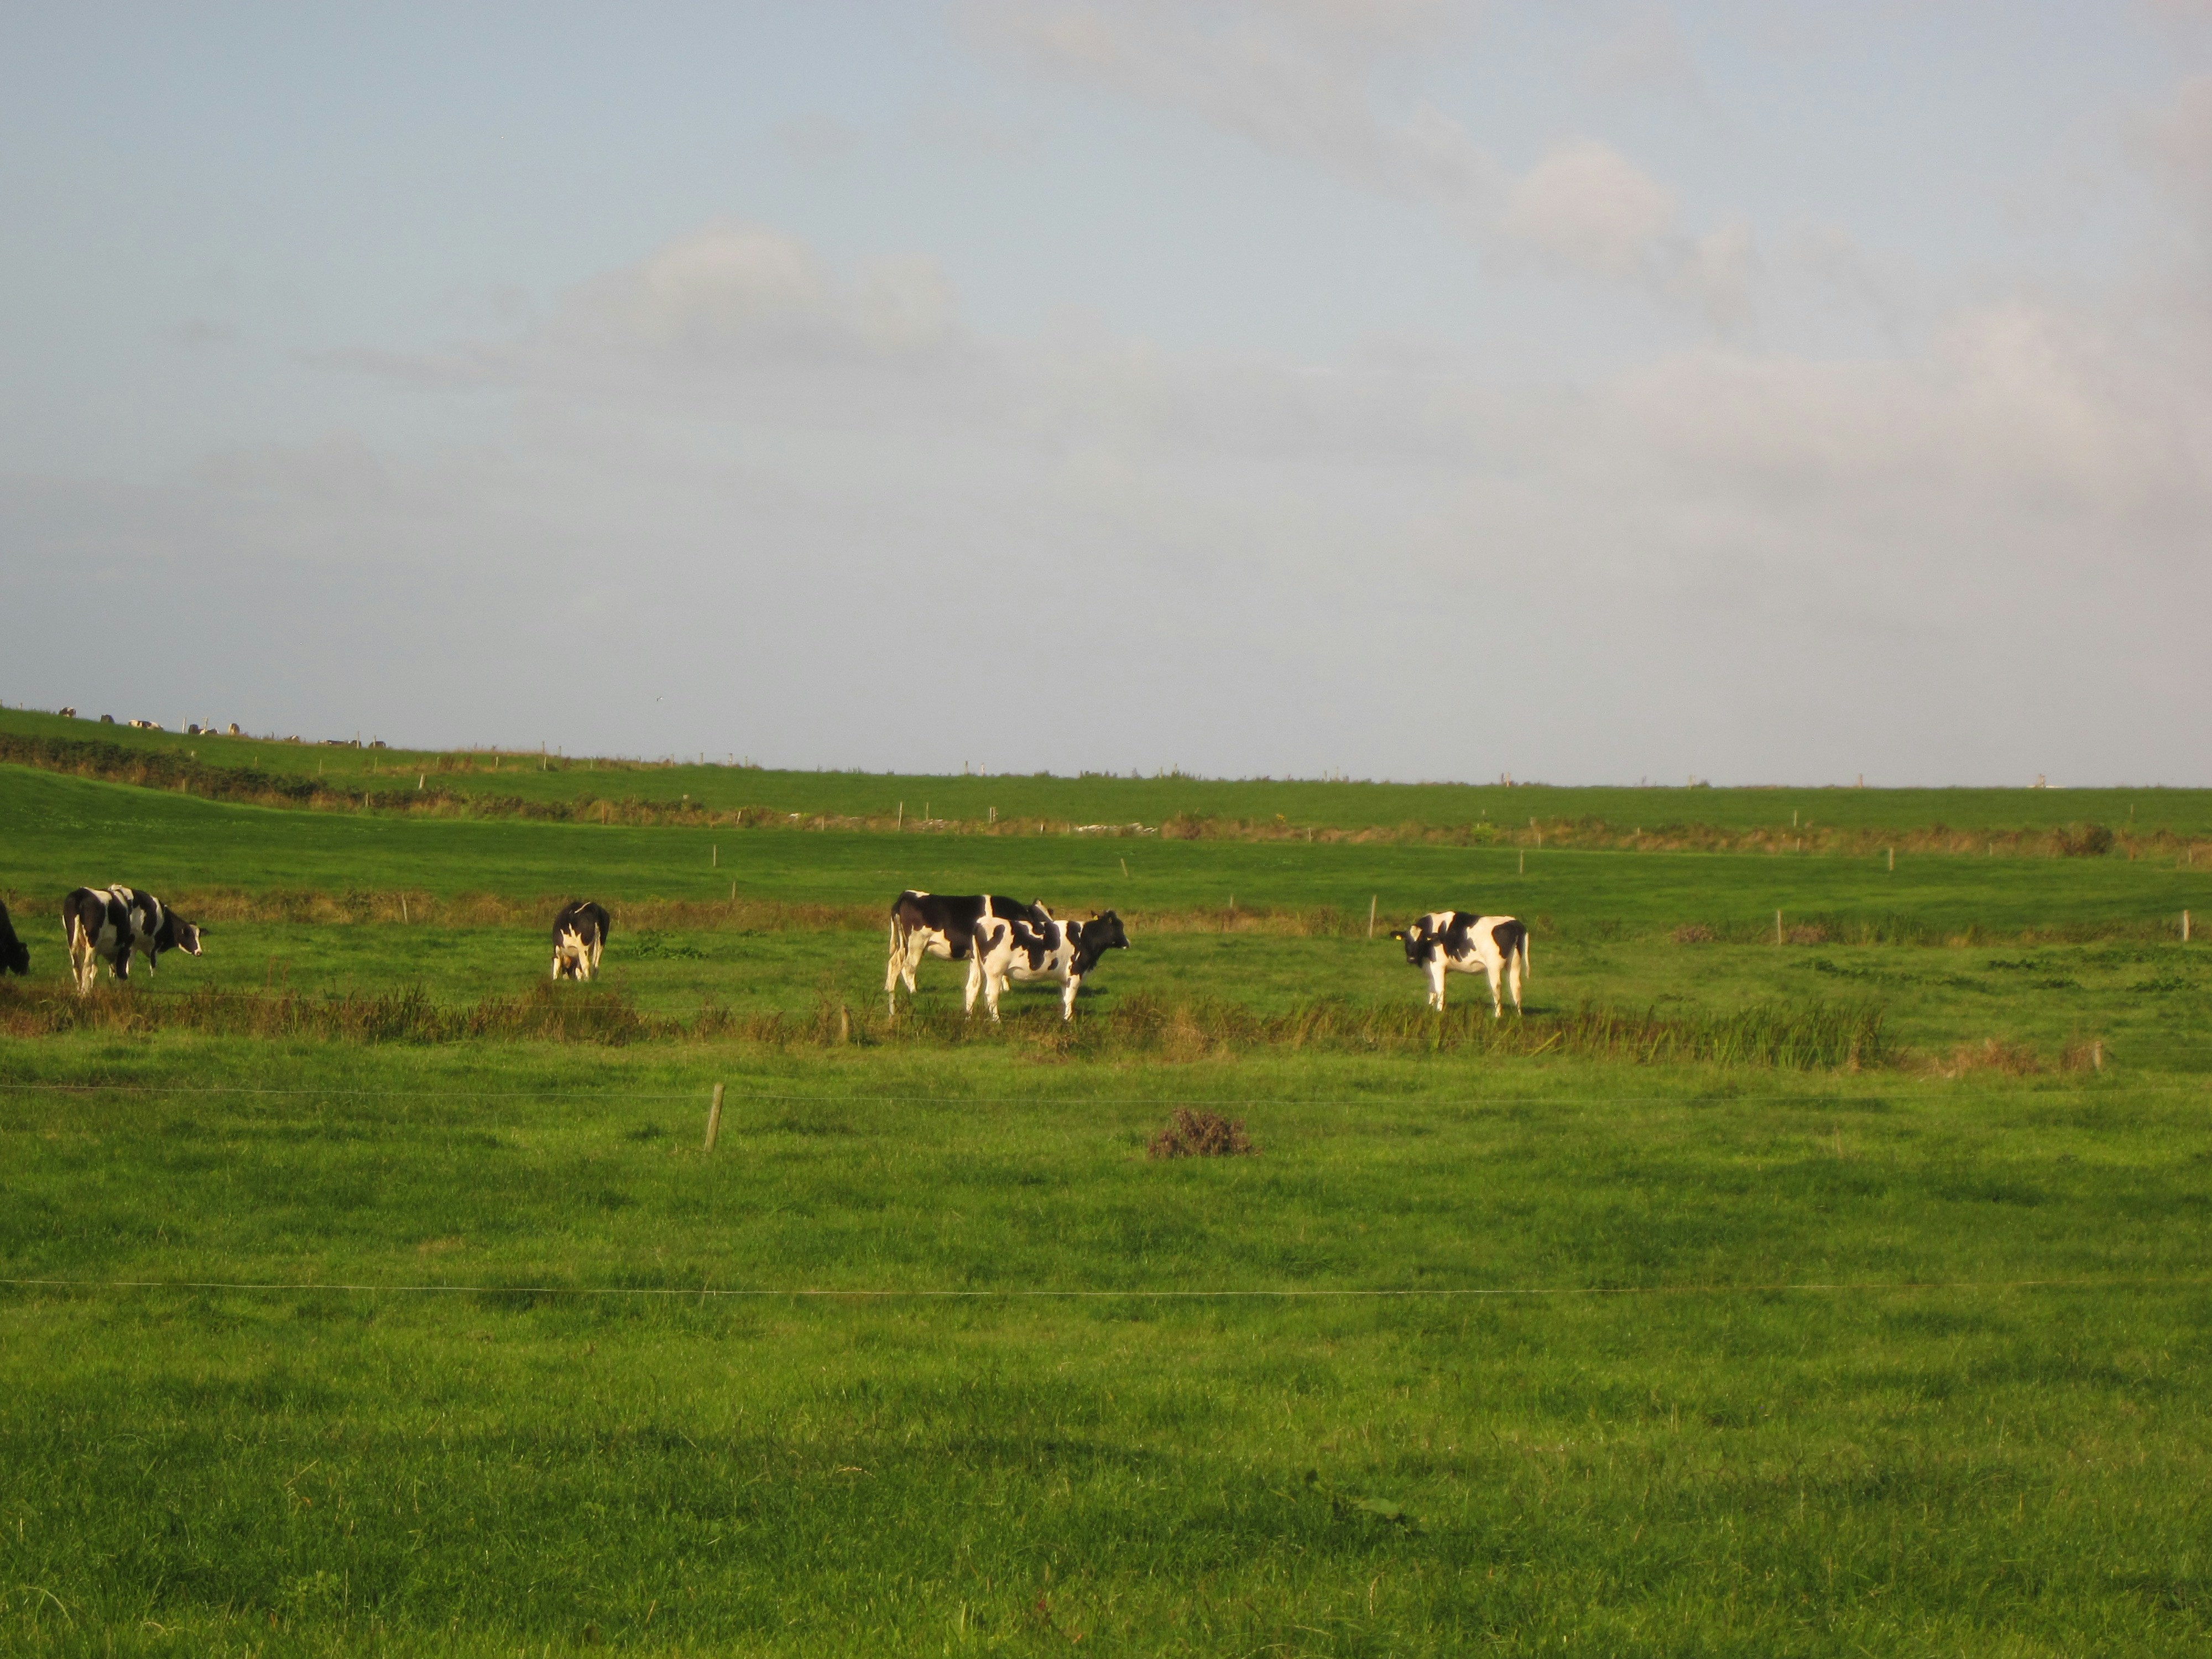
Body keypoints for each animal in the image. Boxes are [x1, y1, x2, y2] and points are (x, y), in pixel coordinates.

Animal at [63, 886, 204, 994]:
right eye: (190, 935)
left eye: (199, 936)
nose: (200, 952)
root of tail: (81, 894)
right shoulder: (132, 945)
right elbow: (126, 970)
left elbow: (104, 970)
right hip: (92, 944)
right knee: (86, 969)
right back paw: (85, 993)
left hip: (73, 944)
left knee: (77, 969)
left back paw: (80, 991)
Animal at [550, 900, 611, 981]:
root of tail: (593, 907)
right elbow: (578, 969)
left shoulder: (557, 948)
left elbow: (556, 966)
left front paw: (555, 980)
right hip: (601, 943)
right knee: (596, 965)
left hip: (583, 947)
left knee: (586, 964)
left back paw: (587, 981)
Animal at [886, 891, 1051, 1015]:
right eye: (1040, 916)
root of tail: (907, 894)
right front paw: (1005, 989)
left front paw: (1005, 989)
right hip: (916, 942)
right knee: (909, 965)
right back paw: (913, 992)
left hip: (904, 943)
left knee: (895, 962)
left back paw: (889, 988)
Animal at [966, 909, 1129, 1022]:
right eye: (1120, 927)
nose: (1128, 943)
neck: (1085, 937)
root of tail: (982, 922)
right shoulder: (1075, 972)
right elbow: (1071, 998)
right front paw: (1069, 1021)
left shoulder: (1064, 978)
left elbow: (1066, 998)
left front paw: (1066, 1019)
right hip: (995, 971)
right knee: (991, 995)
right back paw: (997, 1021)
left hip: (976, 966)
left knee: (971, 989)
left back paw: (968, 1019)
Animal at [1390, 911, 1530, 1017]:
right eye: (1407, 941)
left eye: (1421, 941)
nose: (1411, 959)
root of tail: (1514, 922)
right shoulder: (1430, 967)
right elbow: (1432, 990)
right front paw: (1430, 1009)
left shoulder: (1438, 966)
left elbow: (1439, 989)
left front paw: (1439, 1011)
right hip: (1514, 964)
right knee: (1516, 986)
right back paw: (1518, 1015)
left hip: (1494, 966)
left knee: (1496, 987)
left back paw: (1497, 1015)